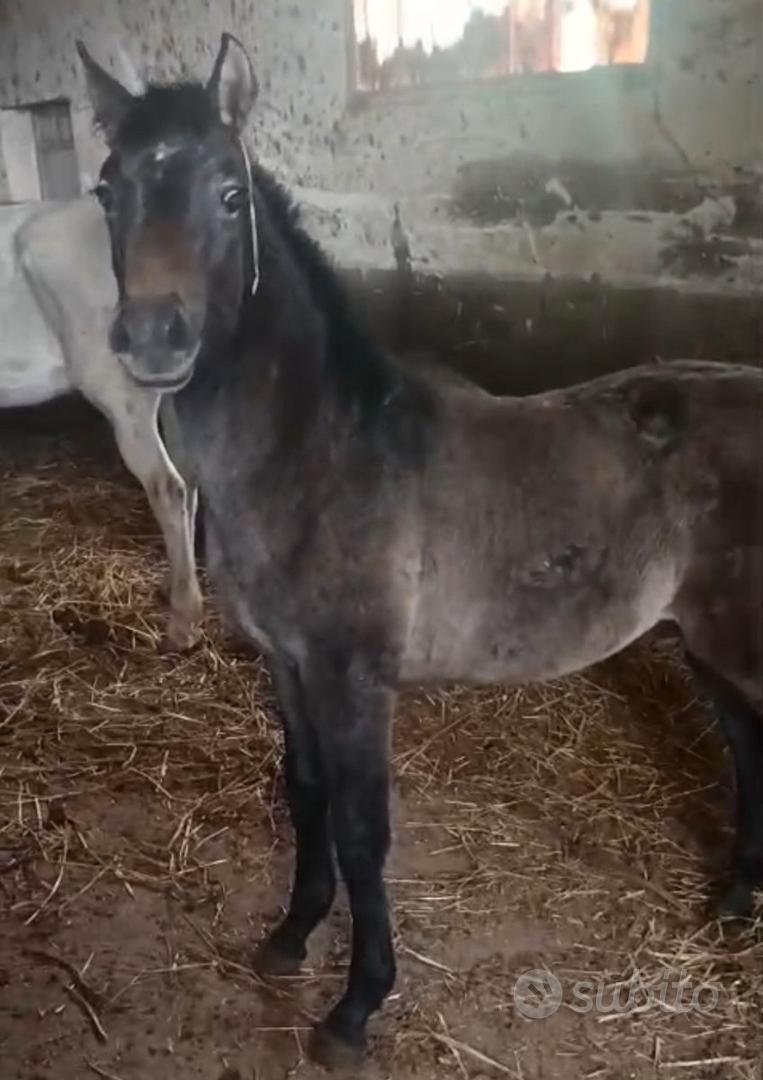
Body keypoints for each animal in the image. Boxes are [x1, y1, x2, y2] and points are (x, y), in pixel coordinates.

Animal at [78, 33, 763, 1066]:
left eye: (229, 194)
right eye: (107, 190)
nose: (155, 339)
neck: (317, 448)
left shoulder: (357, 675)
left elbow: (364, 828)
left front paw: (355, 1008)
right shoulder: (287, 664)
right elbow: (306, 793)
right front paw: (289, 936)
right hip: (711, 644)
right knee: (755, 753)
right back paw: (732, 899)